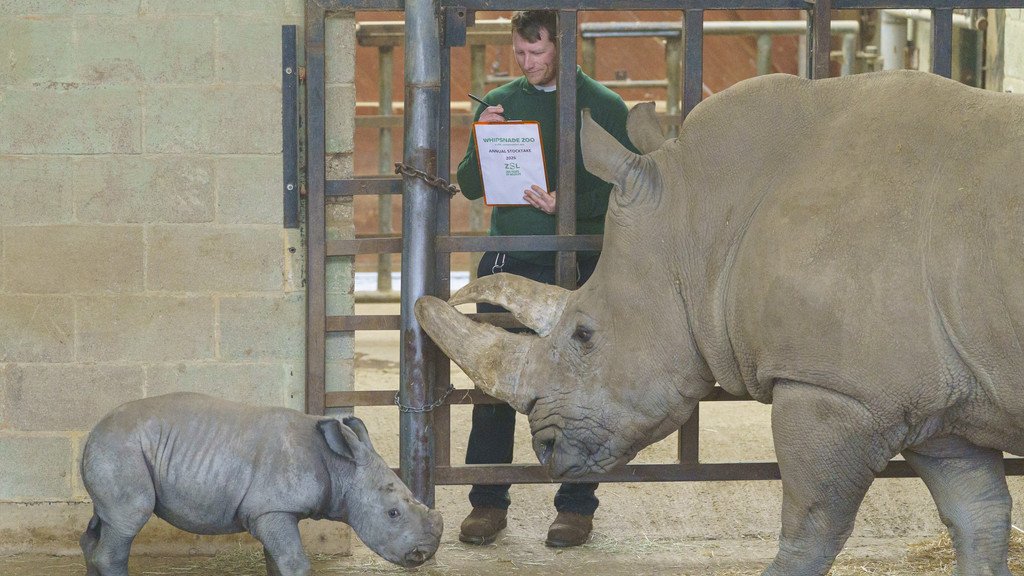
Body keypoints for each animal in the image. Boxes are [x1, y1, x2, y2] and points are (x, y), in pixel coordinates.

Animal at [80, 393, 443, 576]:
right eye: (394, 513)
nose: (424, 553)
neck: (342, 466)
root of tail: (90, 434)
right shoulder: (273, 508)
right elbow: (294, 562)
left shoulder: (271, 512)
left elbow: (278, 560)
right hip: (120, 448)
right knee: (128, 520)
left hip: (113, 448)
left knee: (103, 523)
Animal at [416, 69, 1024, 576]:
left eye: (584, 336)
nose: (545, 449)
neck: (706, 213)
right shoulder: (937, 397)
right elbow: (979, 519)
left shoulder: (834, 388)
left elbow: (810, 528)